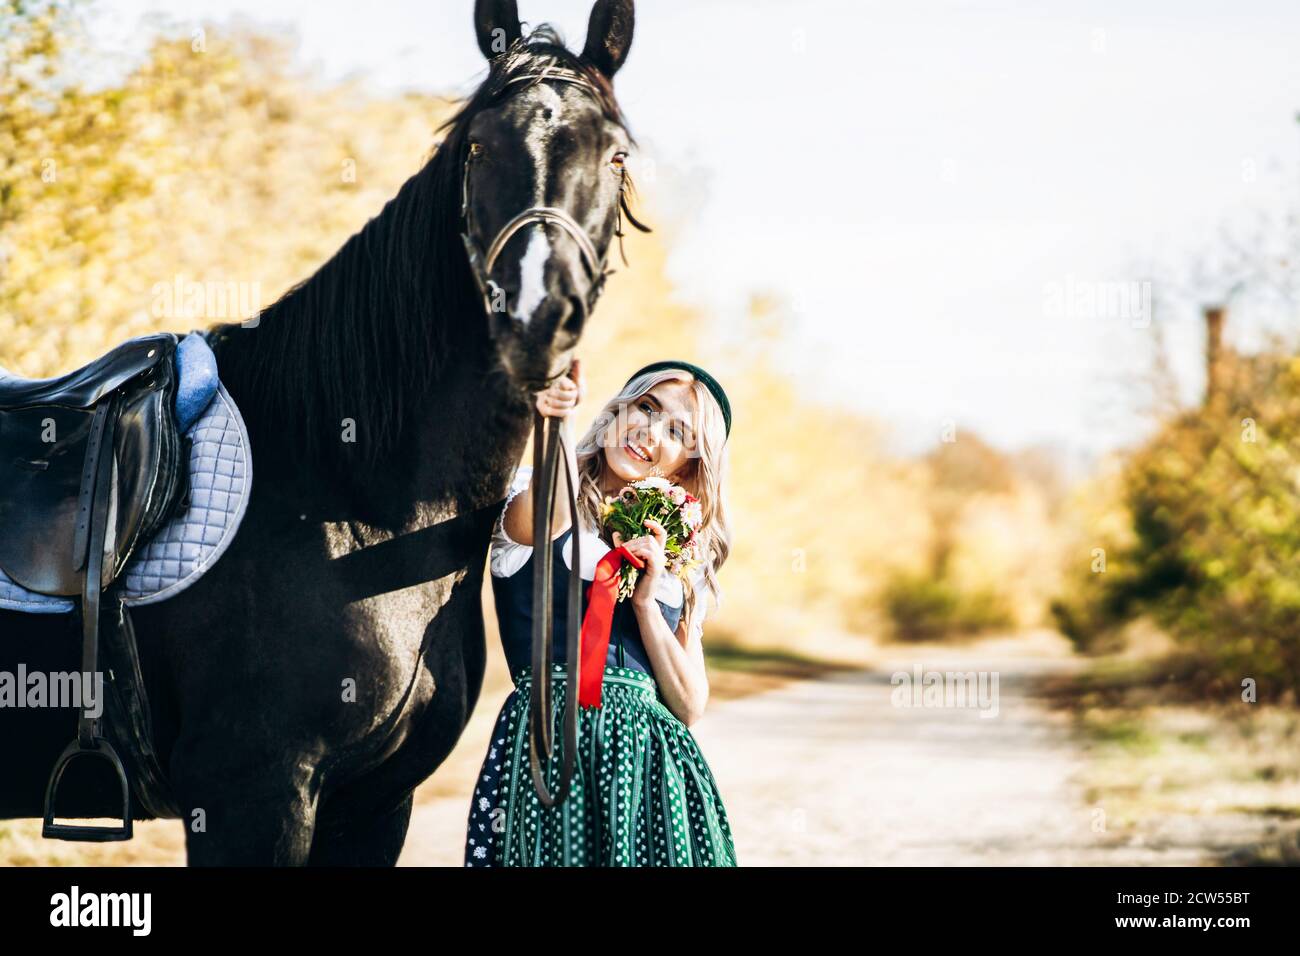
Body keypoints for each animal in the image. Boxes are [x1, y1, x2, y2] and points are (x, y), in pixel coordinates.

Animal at [0, 0, 645, 865]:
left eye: (615, 155)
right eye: (479, 147)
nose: (538, 314)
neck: (351, 504)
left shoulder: (374, 806)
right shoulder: (253, 798)